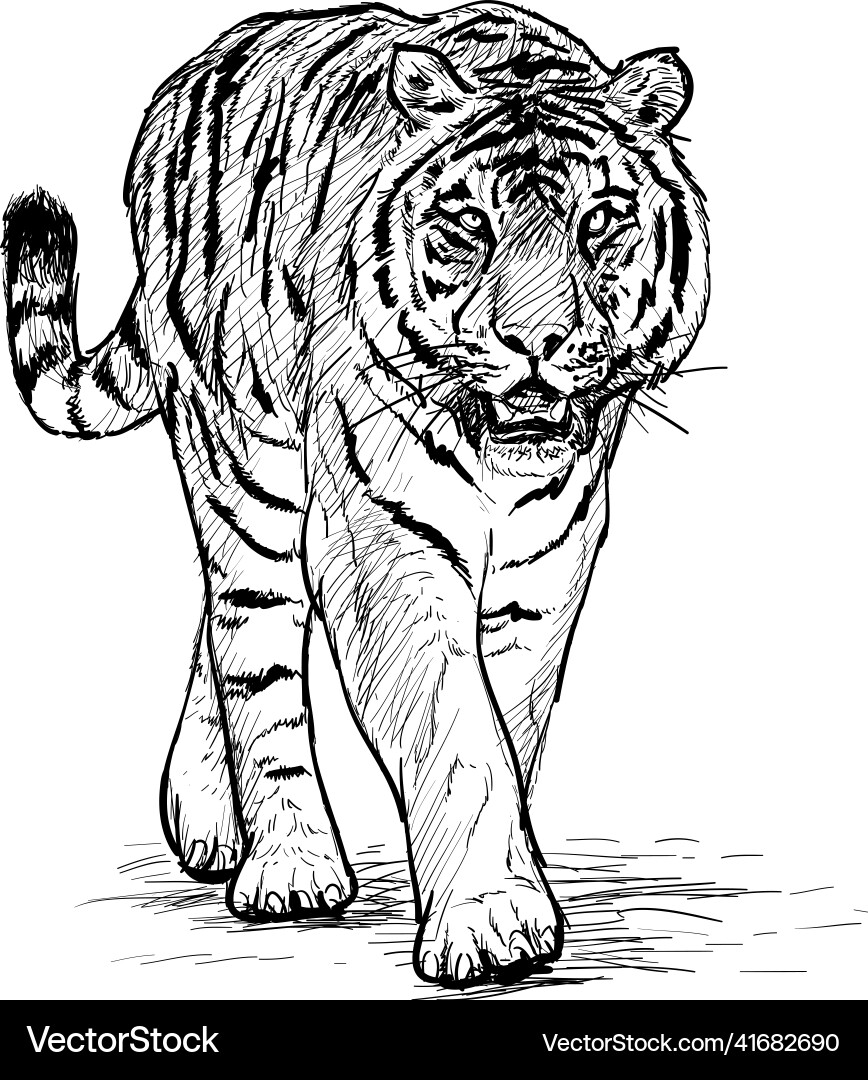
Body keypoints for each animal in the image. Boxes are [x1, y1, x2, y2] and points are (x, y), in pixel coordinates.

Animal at [3, 2, 709, 988]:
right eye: (468, 224)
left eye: (601, 222)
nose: (534, 342)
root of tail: (194, 71)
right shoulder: (385, 542)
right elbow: (457, 729)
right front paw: (491, 923)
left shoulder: (548, 561)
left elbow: (511, 720)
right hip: (245, 468)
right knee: (252, 656)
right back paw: (288, 868)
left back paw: (205, 819)